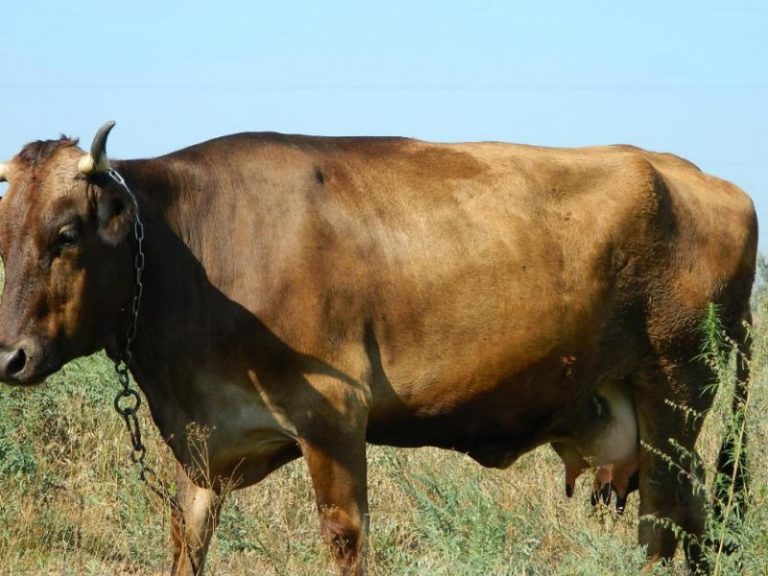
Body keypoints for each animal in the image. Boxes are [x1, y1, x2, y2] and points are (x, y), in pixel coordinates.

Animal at [0, 122, 756, 575]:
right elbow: (189, 541)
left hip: (675, 397)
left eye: (66, 233)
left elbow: (346, 540)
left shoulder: (332, 414)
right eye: (4, 234)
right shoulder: (205, 440)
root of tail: (703, 179)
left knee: (670, 527)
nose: (10, 357)